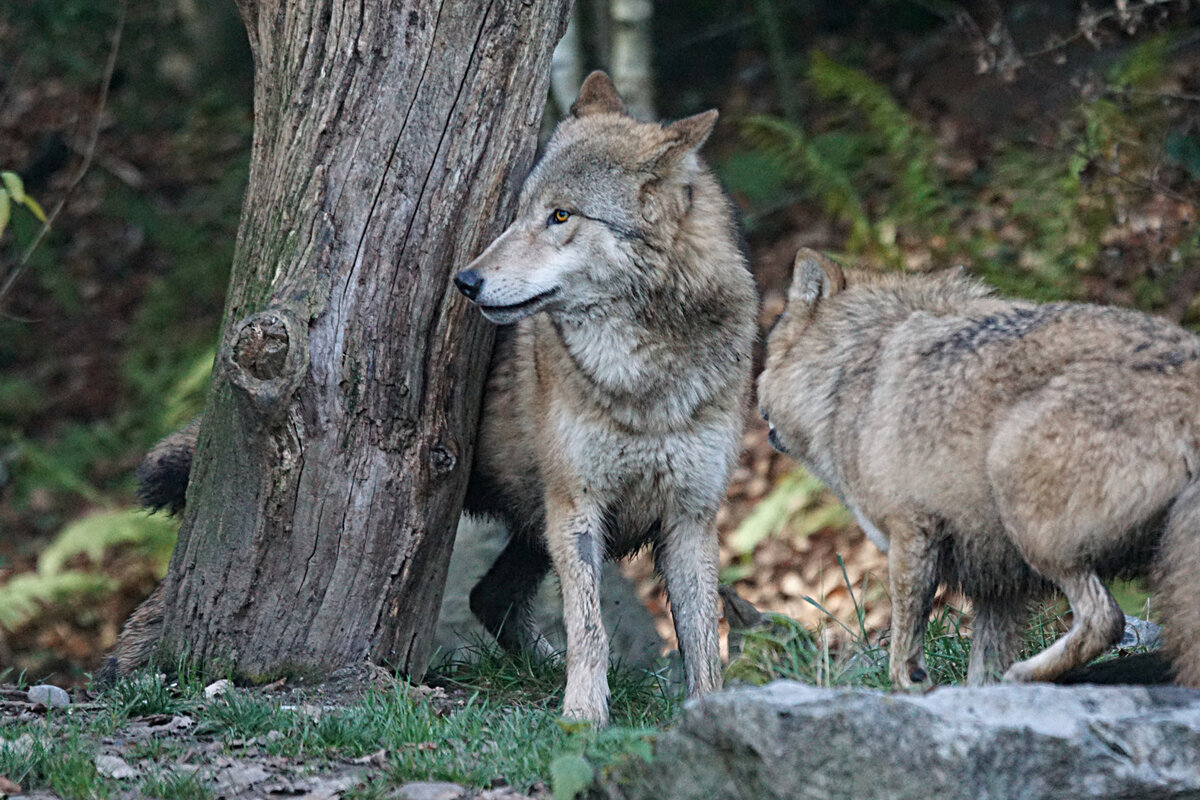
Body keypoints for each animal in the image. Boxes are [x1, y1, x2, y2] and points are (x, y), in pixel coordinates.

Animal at [758, 248, 1200, 690]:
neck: (852, 369)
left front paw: (913, 685)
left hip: (1021, 502)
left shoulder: (912, 532)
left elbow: (902, 653)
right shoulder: (999, 585)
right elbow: (979, 672)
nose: (759, 409)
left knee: (1104, 619)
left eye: (770, 348)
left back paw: (1022, 674)